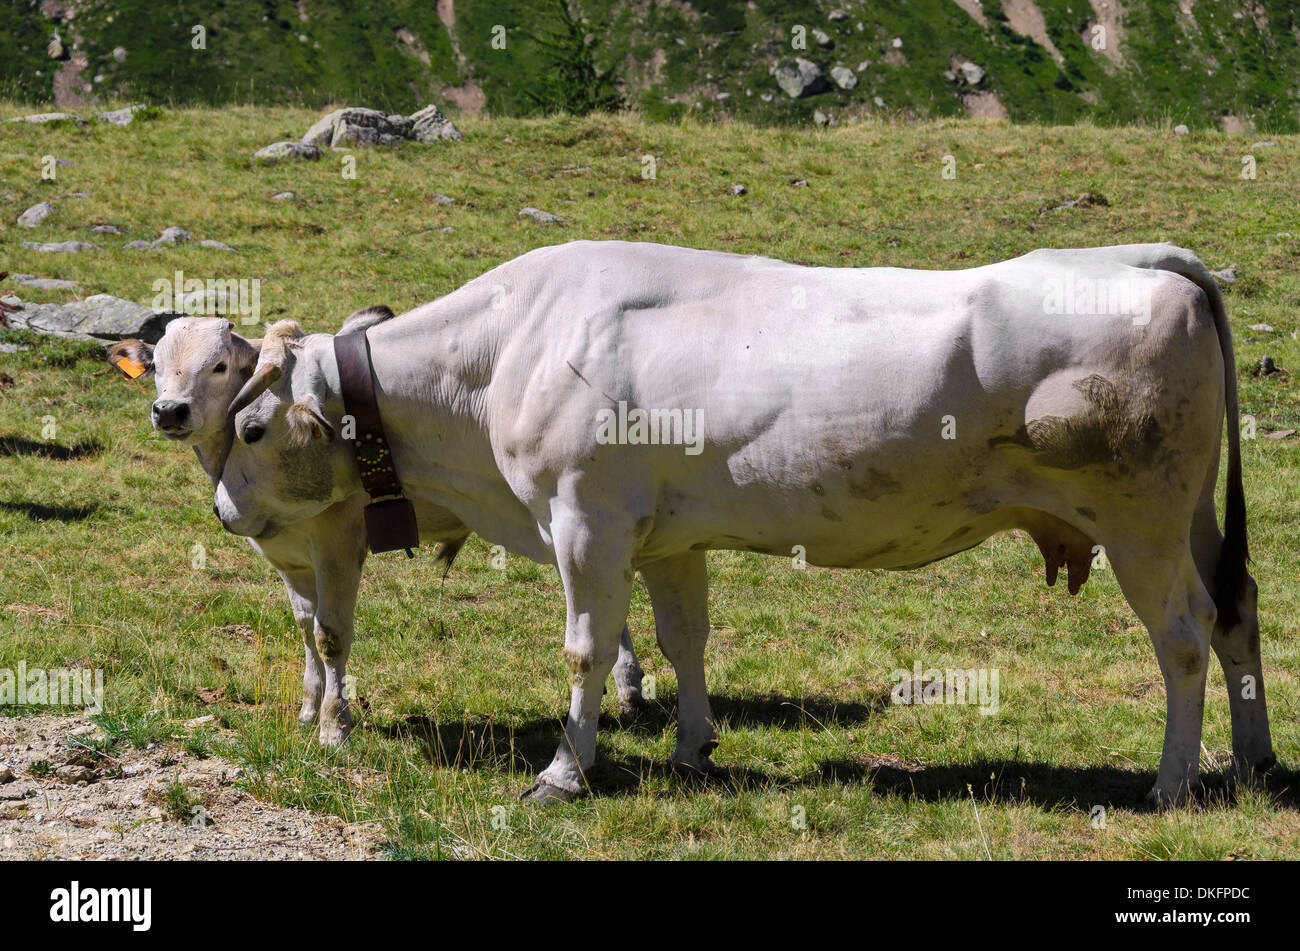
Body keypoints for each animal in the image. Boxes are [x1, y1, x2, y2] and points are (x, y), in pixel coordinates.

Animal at [109, 315, 646, 744]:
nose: (170, 410)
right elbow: (304, 626)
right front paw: (308, 709)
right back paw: (629, 690)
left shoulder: (339, 547)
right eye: (156, 366)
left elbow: (330, 633)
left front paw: (335, 724)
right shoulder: (287, 557)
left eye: (219, 365)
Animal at [212, 239, 1275, 806]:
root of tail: (1143, 258)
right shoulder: (668, 535)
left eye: (254, 425)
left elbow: (587, 648)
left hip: (1141, 520)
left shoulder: (585, 517)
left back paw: (1172, 781)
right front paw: (691, 748)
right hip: (1190, 516)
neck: (507, 351)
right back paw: (1255, 759)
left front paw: (563, 768)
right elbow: (685, 636)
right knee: (1237, 613)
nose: (223, 510)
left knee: (1184, 637)